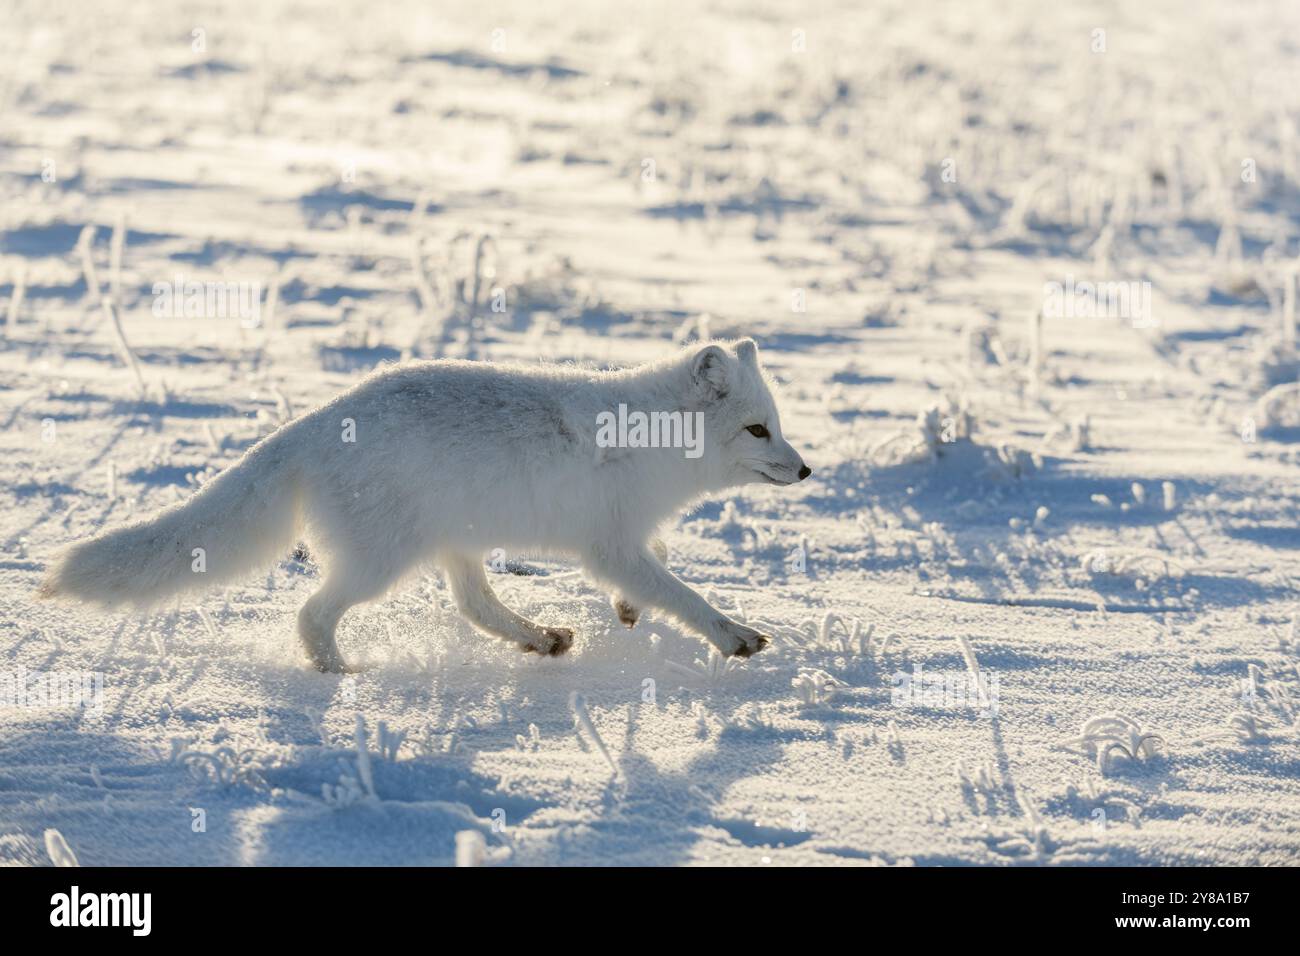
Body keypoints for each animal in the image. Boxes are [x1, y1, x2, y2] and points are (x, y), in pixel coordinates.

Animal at [38, 338, 811, 672]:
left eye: (777, 423)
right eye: (757, 430)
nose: (805, 468)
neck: (650, 439)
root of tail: (312, 423)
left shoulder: (624, 542)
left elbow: (660, 565)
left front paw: (627, 610)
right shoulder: (608, 543)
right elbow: (682, 593)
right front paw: (735, 638)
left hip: (453, 544)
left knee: (475, 606)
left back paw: (540, 639)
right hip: (382, 561)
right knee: (311, 612)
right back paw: (337, 674)